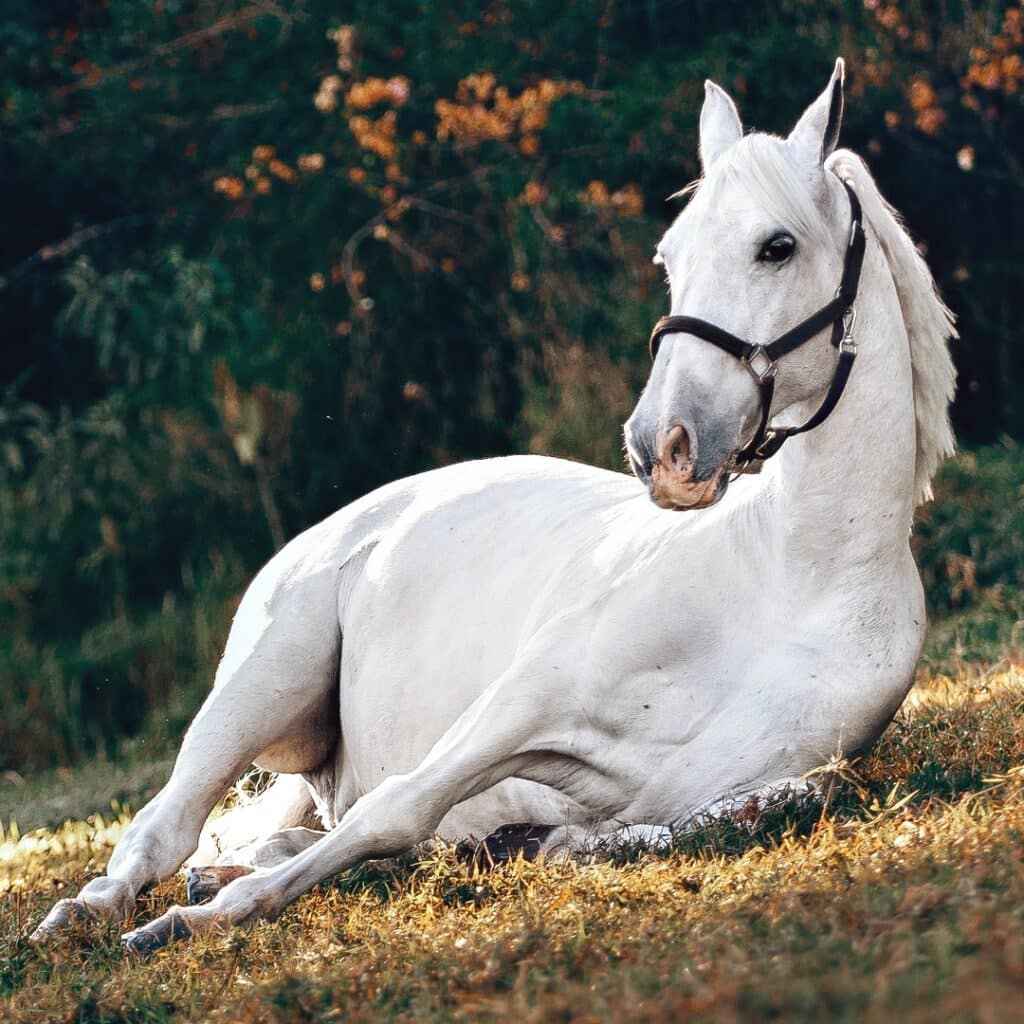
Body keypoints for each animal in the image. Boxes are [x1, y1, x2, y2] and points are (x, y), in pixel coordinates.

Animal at [31, 59, 956, 955]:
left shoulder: (736, 785)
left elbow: (723, 813)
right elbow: (396, 807)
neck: (794, 579)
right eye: (670, 257)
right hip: (258, 688)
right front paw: (200, 922)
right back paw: (94, 911)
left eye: (777, 246)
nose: (661, 445)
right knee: (165, 826)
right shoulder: (522, 703)